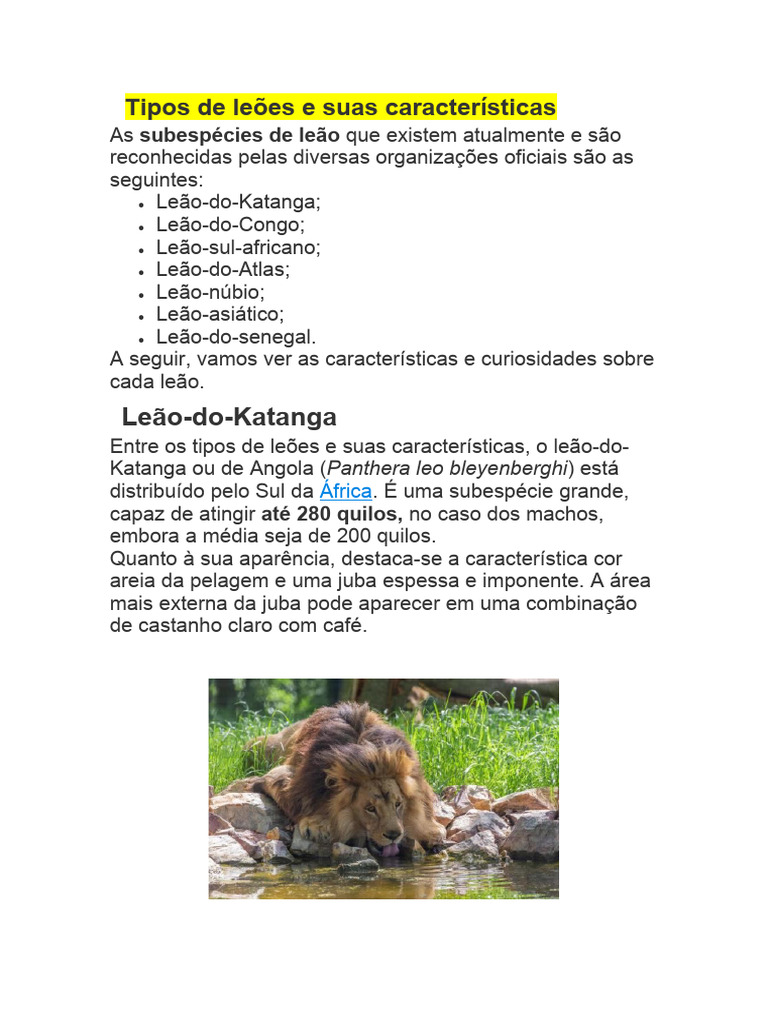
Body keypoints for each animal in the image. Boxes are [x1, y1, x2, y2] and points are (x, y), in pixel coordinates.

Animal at [246, 702, 446, 856]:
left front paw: (432, 832)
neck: (364, 754)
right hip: (258, 745)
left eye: (398, 804)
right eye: (370, 809)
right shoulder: (287, 776)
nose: (393, 835)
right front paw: (316, 825)